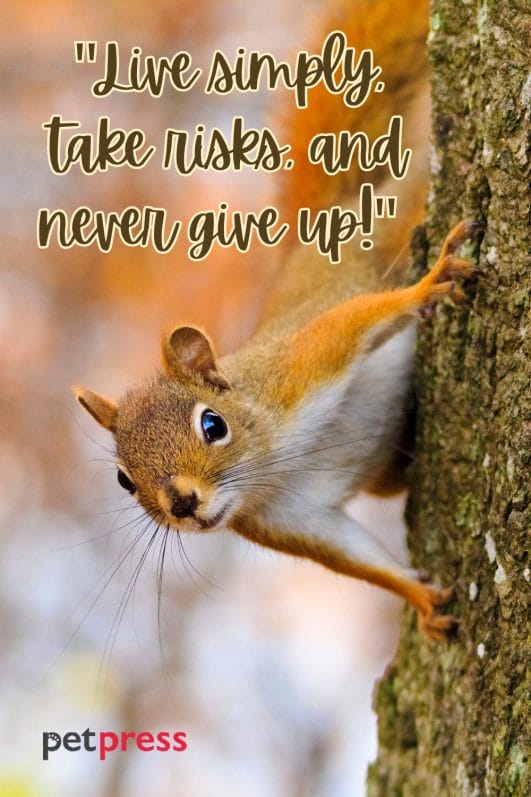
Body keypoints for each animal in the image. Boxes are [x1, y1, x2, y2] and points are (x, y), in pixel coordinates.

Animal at [74, 1, 483, 641]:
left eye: (212, 425)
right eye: (123, 479)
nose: (183, 505)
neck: (271, 467)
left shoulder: (301, 366)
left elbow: (356, 322)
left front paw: (430, 282)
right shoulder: (289, 520)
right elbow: (357, 560)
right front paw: (420, 600)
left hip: (386, 230)